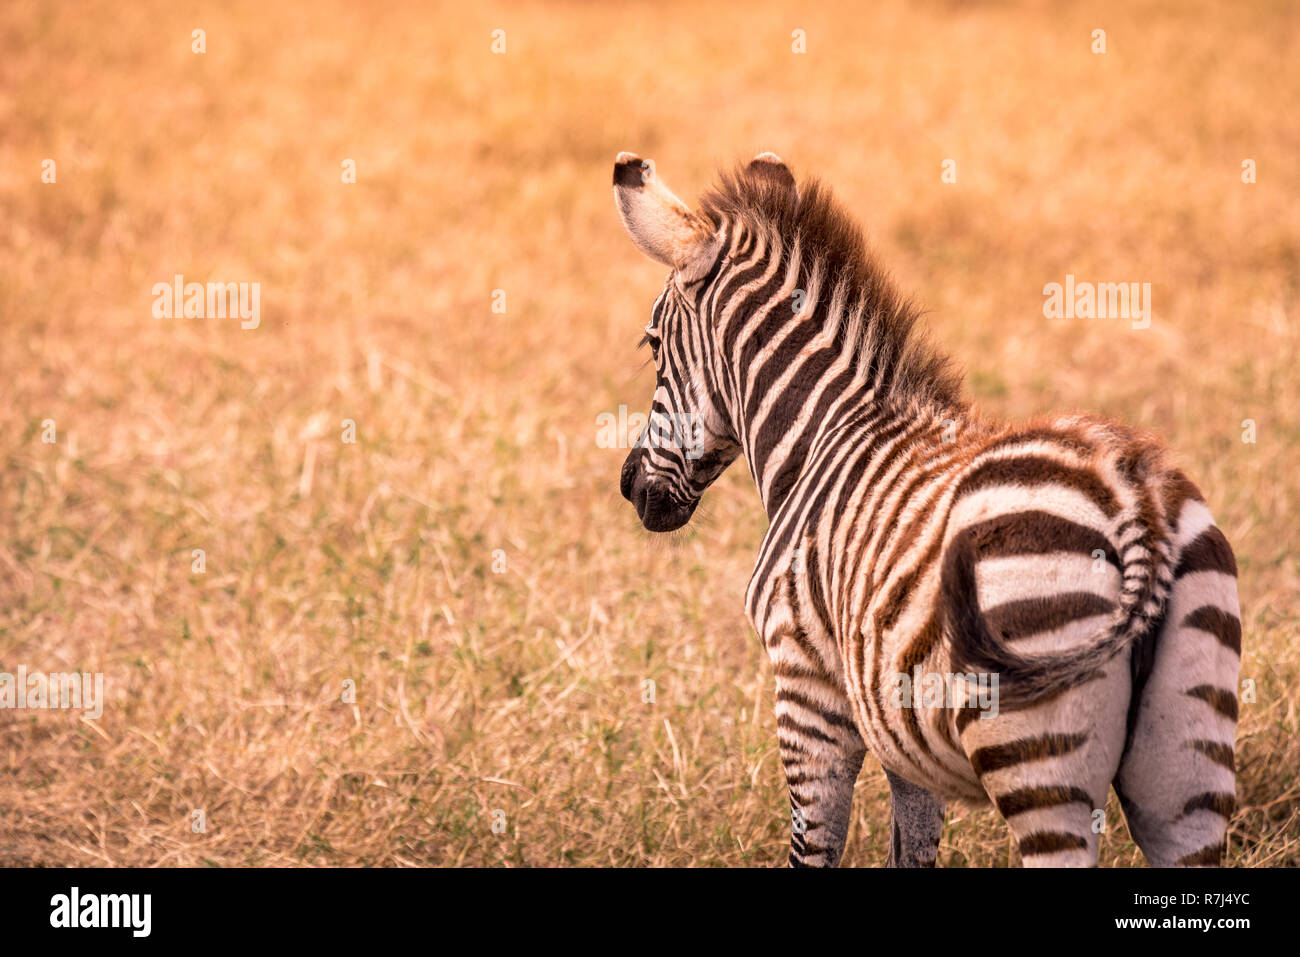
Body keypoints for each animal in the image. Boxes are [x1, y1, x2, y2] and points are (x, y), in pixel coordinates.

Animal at [610, 150, 1242, 867]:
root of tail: (1134, 502)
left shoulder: (807, 691)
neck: (826, 432)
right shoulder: (898, 731)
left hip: (1036, 749)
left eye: (651, 345)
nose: (630, 487)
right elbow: (911, 847)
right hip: (1188, 759)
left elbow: (814, 847)